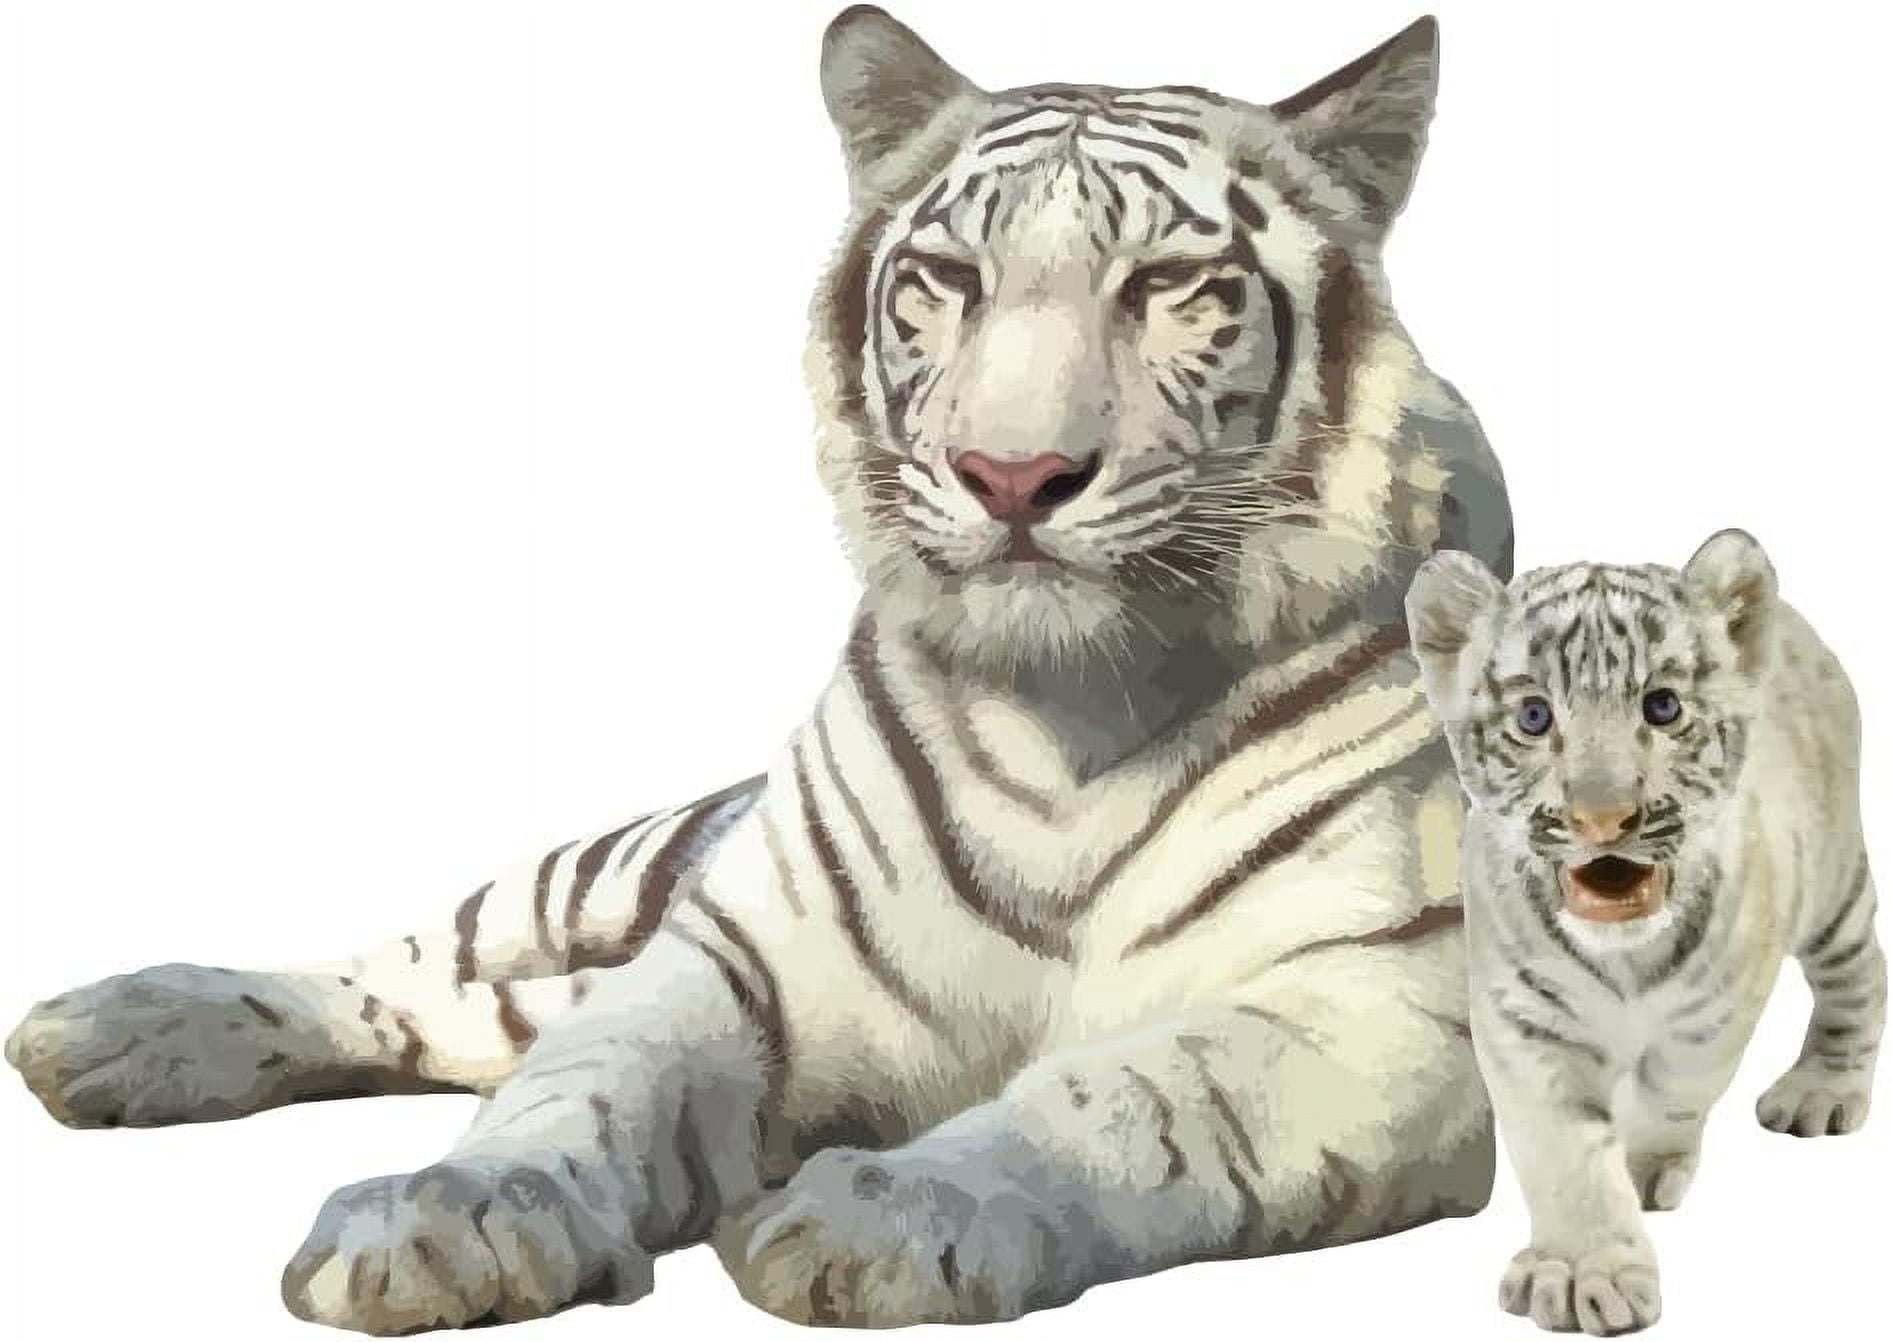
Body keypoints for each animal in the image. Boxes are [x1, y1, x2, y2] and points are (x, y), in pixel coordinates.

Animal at [7, 6, 1514, 1333]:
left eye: (1165, 288)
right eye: (949, 280)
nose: (1012, 475)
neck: (1073, 708)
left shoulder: (1365, 1015)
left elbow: (1121, 1096)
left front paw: (887, 1215)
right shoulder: (746, 959)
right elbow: (582, 1080)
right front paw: (447, 1211)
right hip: (602, 874)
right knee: (420, 972)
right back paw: (113, 1026)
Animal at [1405, 531, 1884, 1337]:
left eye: (1662, 707)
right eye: (1533, 717)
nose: (1603, 819)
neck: (1624, 958)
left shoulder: (1720, 1010)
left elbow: (1675, 1089)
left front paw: (1643, 1166)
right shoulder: (1521, 1024)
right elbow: (1562, 1149)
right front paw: (1578, 1270)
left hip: (1832, 886)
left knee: (1862, 974)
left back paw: (1820, 1092)